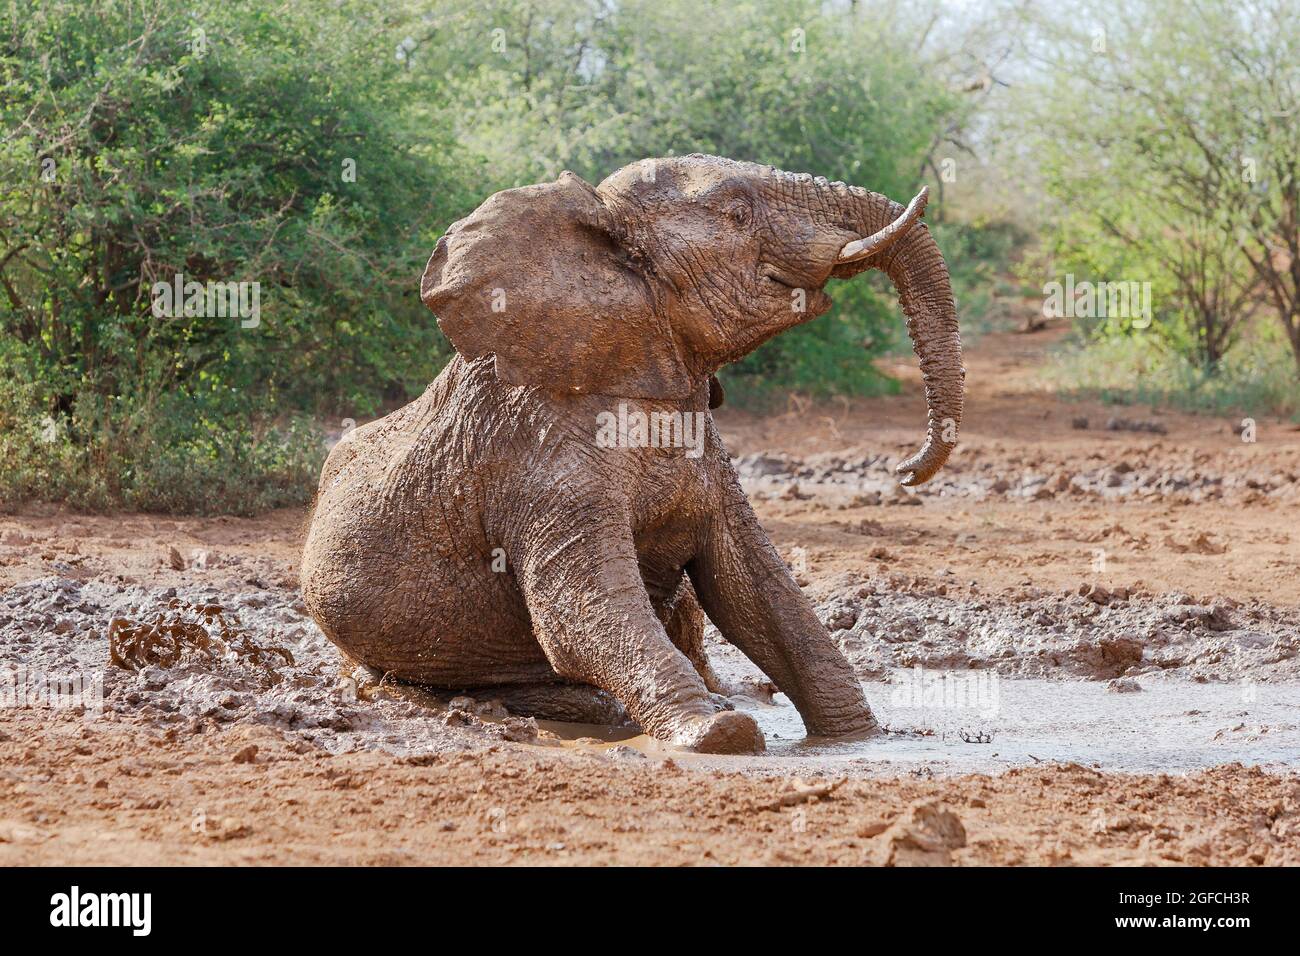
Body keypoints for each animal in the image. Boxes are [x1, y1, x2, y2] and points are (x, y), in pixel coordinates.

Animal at [300, 154, 964, 754]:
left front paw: (859, 739)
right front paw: (718, 735)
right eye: (737, 213)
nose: (906, 471)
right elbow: (584, 612)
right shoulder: (539, 458)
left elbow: (756, 591)